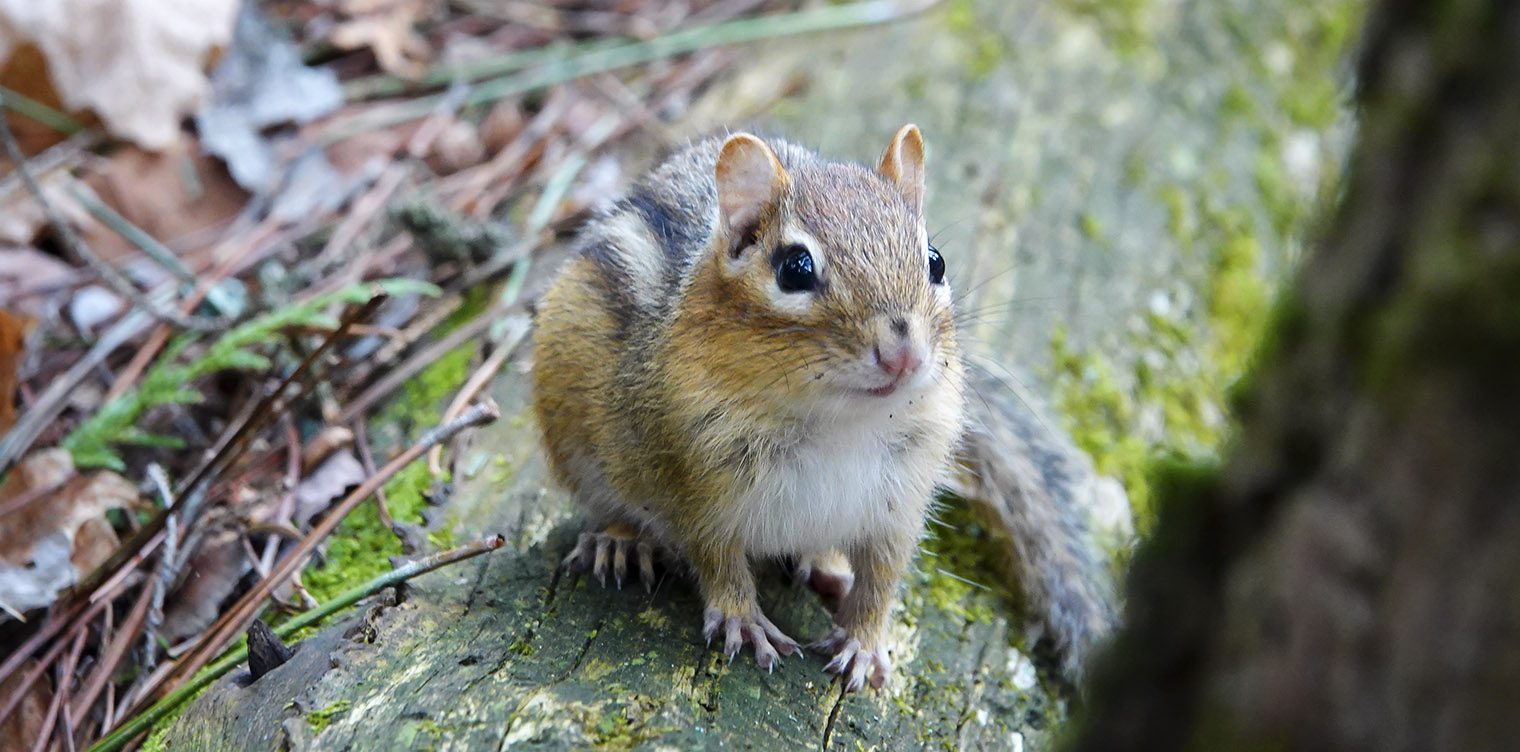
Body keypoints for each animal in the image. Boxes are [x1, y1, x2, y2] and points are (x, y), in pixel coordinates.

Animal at [531, 125, 1116, 691]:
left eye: (935, 261)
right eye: (795, 268)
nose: (903, 353)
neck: (841, 422)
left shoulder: (899, 507)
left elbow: (882, 580)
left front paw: (865, 642)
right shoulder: (696, 488)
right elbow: (718, 563)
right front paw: (743, 619)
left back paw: (828, 566)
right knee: (612, 510)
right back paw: (620, 542)